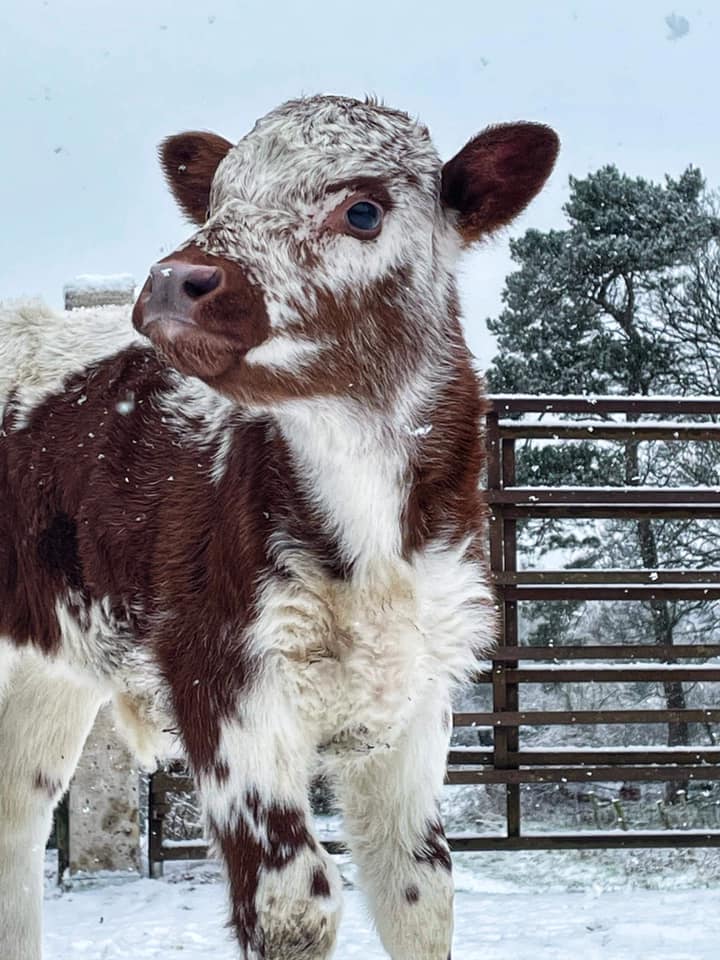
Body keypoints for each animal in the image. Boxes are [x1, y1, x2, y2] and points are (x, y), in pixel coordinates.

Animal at [0, 95, 558, 959]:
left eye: (362, 209)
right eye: (218, 199)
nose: (175, 281)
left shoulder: (418, 691)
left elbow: (419, 890)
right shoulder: (221, 673)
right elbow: (297, 901)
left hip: (48, 666)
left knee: (14, 820)